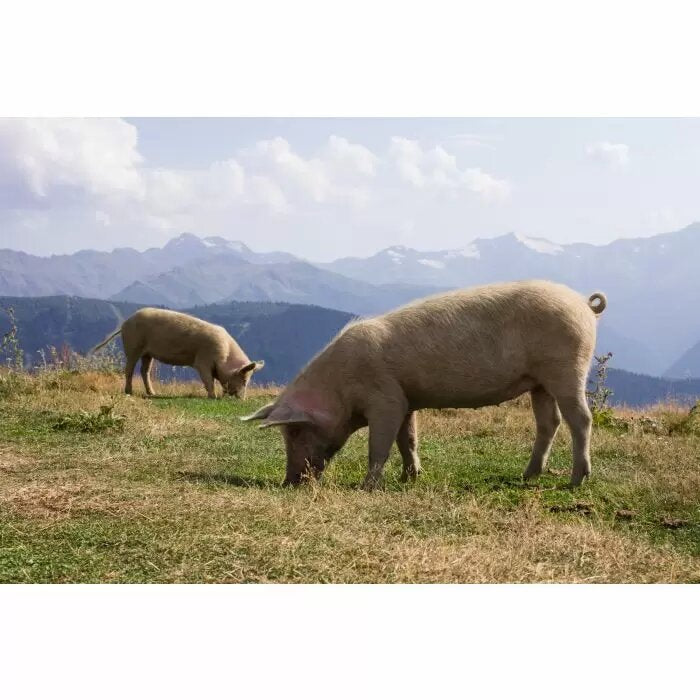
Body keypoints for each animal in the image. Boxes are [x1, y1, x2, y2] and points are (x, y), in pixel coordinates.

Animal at [91, 308, 264, 398]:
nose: (241, 400)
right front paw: (213, 397)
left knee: (144, 370)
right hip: (133, 345)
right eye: (244, 379)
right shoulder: (202, 361)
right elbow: (208, 380)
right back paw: (130, 392)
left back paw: (153, 393)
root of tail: (125, 323)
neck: (225, 356)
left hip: (148, 353)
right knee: (129, 369)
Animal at [242, 280, 607, 488]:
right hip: (539, 381)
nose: (289, 482)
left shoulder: (385, 398)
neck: (340, 389)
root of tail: (583, 304)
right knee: (550, 422)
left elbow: (380, 445)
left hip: (567, 366)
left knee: (580, 419)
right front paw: (409, 478)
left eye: (295, 431)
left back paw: (576, 481)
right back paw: (527, 475)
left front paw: (368, 486)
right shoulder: (405, 399)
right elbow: (408, 440)